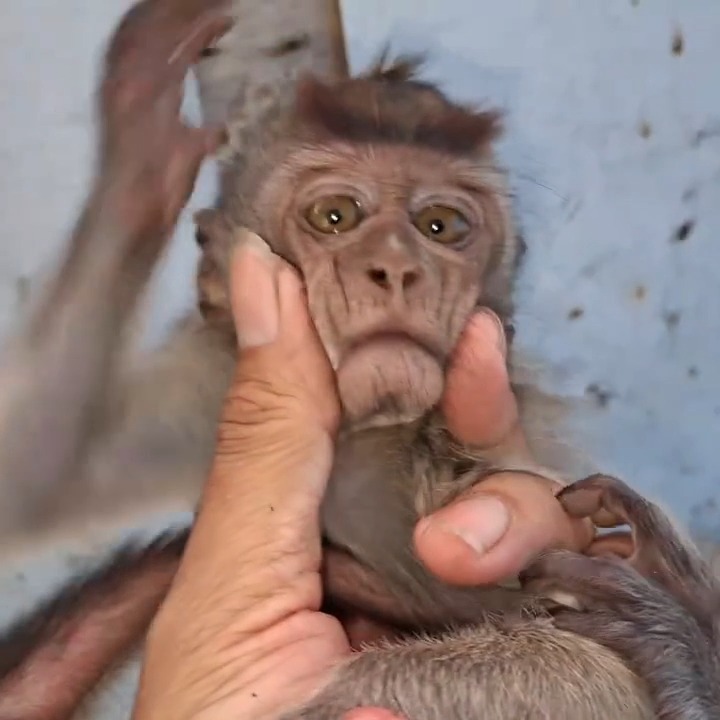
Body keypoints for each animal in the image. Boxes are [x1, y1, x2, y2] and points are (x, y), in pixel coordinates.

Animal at [0, 1, 718, 719]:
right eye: (336, 215)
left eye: (441, 227)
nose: (397, 268)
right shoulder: (206, 394)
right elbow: (36, 476)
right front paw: (144, 138)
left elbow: (586, 667)